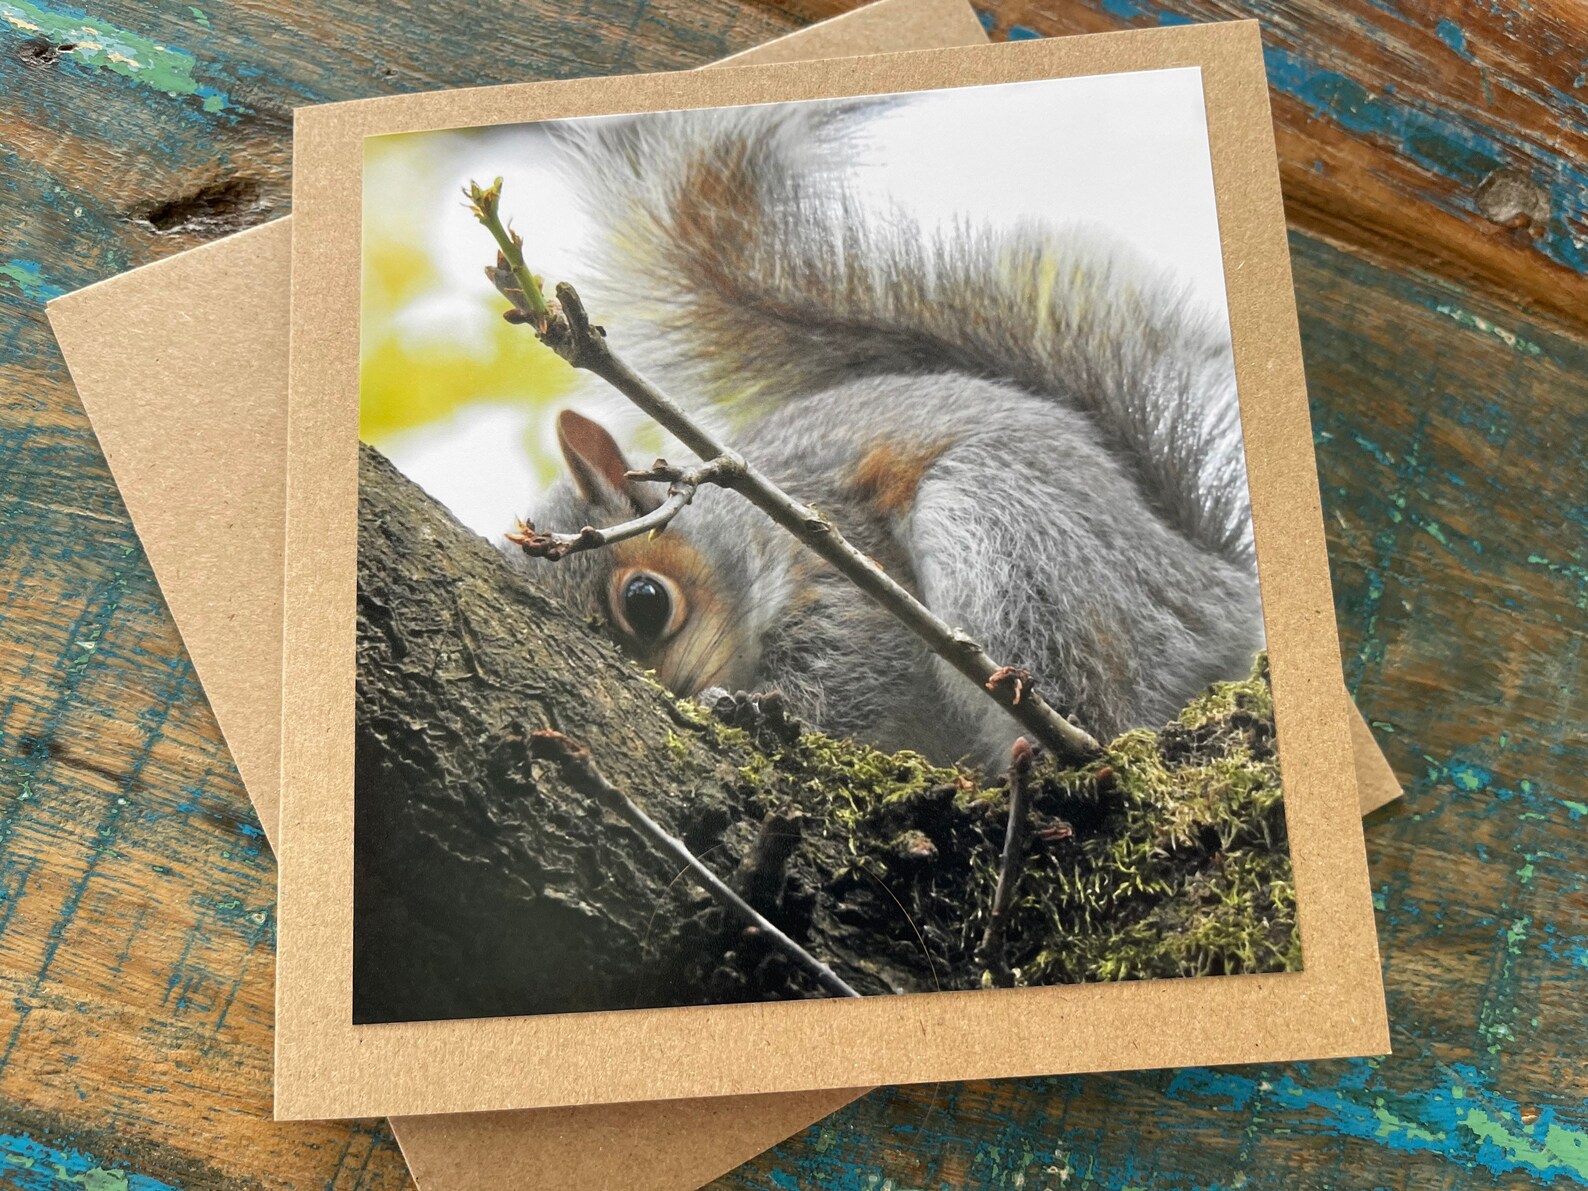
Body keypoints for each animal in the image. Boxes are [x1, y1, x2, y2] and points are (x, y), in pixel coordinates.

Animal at [506, 103, 1266, 773]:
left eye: (646, 602)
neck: (757, 537)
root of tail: (1222, 598)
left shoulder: (846, 580)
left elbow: (857, 676)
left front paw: (756, 709)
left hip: (1013, 534)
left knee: (1097, 708)